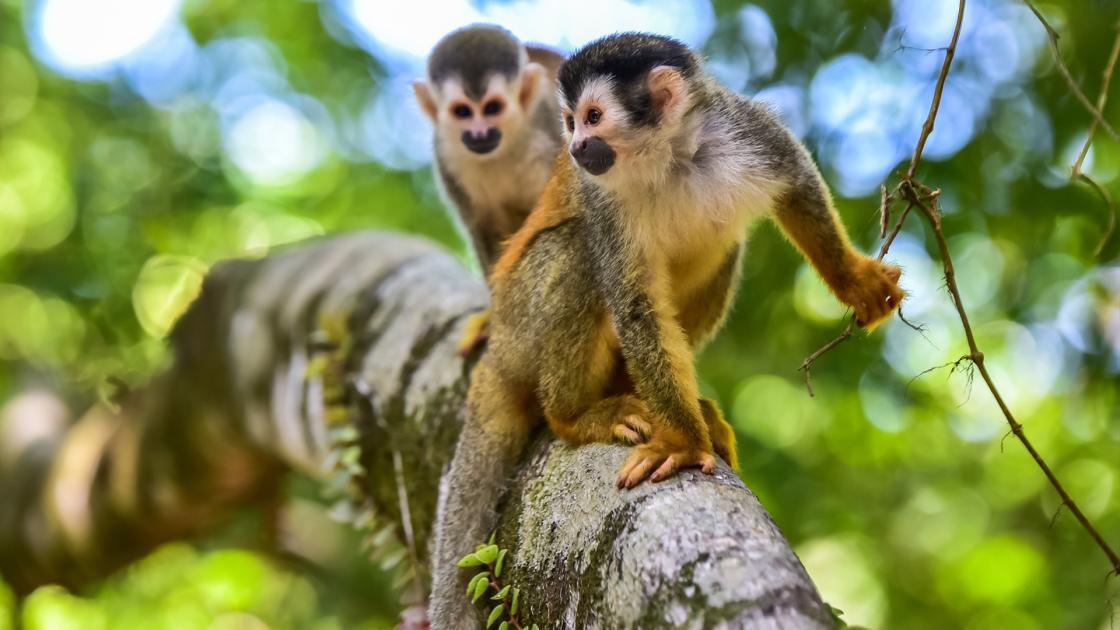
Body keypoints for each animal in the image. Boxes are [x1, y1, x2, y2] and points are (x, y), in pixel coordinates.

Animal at [428, 33, 904, 628]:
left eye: (592, 117)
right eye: (570, 122)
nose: (576, 147)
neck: (669, 156)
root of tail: (496, 346)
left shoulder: (745, 130)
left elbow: (798, 184)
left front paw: (853, 281)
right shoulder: (602, 197)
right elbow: (634, 304)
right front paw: (681, 442)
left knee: (725, 248)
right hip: (520, 321)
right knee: (577, 249)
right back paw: (574, 414)